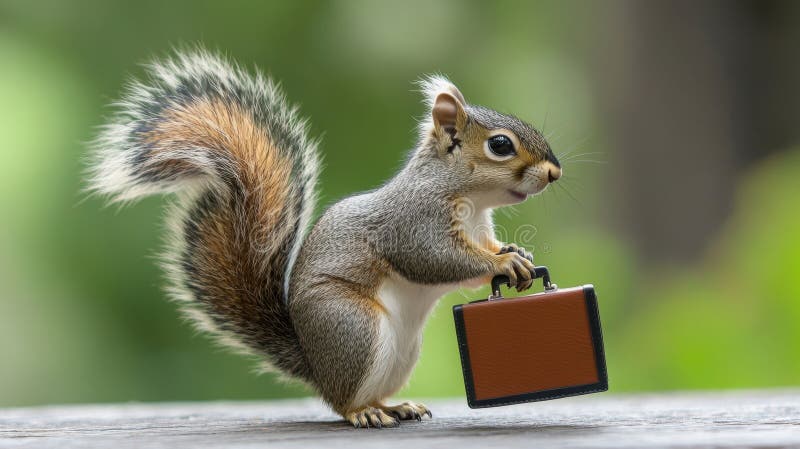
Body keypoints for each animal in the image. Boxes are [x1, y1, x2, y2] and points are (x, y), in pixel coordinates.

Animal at [87, 48, 561, 428]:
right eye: (500, 145)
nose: (555, 172)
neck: (469, 198)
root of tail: (315, 365)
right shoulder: (412, 222)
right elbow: (434, 259)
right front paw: (501, 264)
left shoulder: (479, 228)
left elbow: (486, 246)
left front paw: (514, 252)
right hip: (353, 327)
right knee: (344, 402)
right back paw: (364, 413)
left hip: (400, 352)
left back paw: (395, 407)